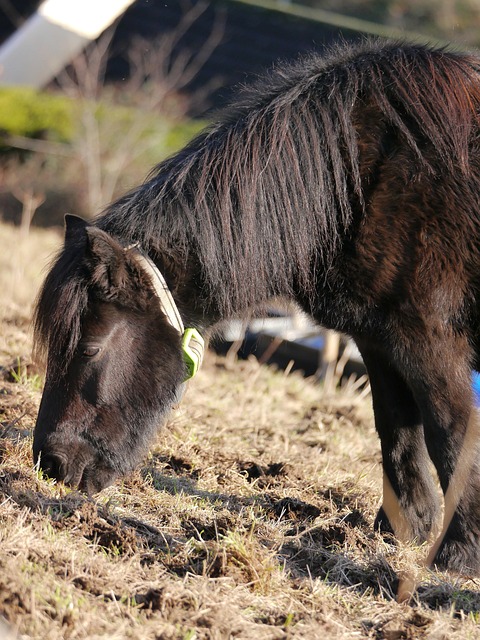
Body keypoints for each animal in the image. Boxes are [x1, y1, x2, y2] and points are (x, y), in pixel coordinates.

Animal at [33, 39, 480, 577]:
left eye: (90, 349)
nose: (50, 464)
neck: (364, 177)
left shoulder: (431, 342)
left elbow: (450, 436)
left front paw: (458, 554)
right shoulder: (380, 341)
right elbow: (396, 430)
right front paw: (403, 530)